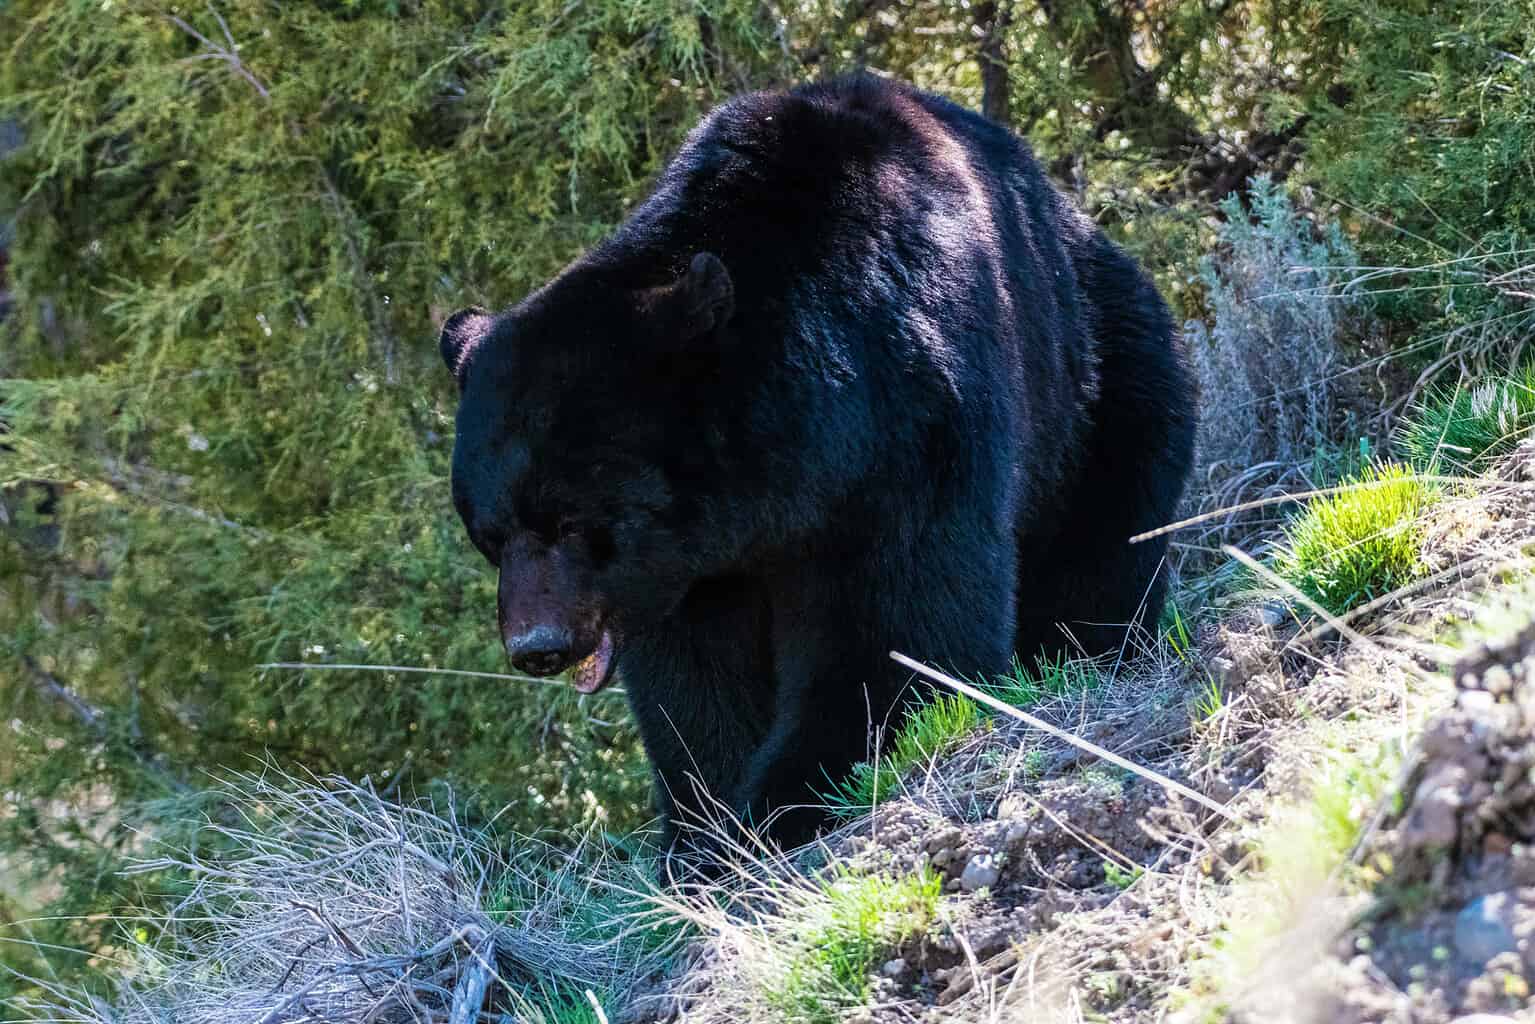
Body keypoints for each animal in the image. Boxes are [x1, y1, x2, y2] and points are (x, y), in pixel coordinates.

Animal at [440, 75, 1196, 858]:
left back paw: (1084, 653)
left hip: (1098, 379)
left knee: (1103, 533)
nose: (537, 646)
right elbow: (695, 678)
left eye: (572, 520)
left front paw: (790, 798)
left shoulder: (907, 421)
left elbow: (897, 618)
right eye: (489, 535)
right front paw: (705, 829)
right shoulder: (691, 561)